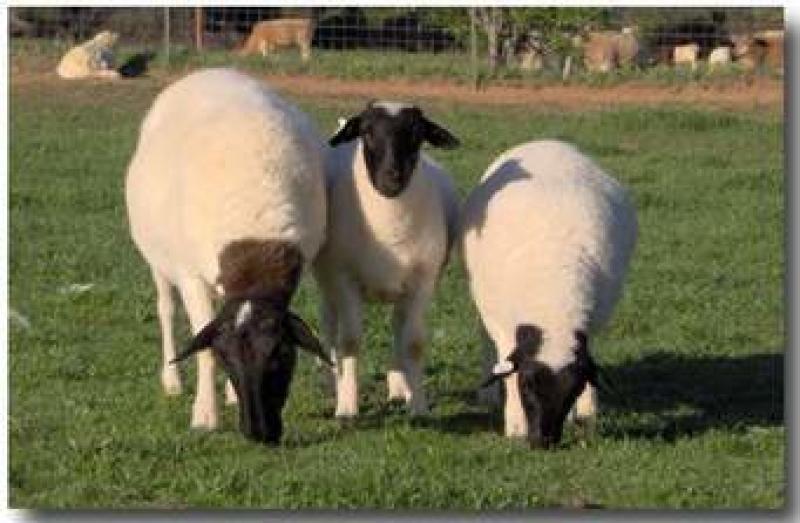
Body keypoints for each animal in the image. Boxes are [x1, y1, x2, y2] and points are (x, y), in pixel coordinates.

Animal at [125, 68, 330, 444]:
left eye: (282, 355)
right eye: (226, 359)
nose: (258, 433)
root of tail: (209, 71)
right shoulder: (191, 277)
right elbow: (202, 343)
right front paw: (204, 415)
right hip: (158, 260)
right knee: (165, 309)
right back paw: (172, 381)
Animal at [313, 101, 460, 418]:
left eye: (417, 134)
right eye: (367, 132)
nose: (392, 176)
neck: (390, 227)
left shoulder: (422, 283)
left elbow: (414, 343)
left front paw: (418, 406)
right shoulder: (345, 279)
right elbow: (350, 341)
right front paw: (347, 407)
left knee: (396, 327)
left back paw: (398, 388)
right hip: (327, 282)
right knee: (330, 324)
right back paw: (332, 382)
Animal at [461, 140, 637, 448]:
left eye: (573, 389)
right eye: (527, 383)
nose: (544, 441)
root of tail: (546, 143)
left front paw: (583, 411)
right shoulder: (502, 324)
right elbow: (507, 370)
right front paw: (515, 426)